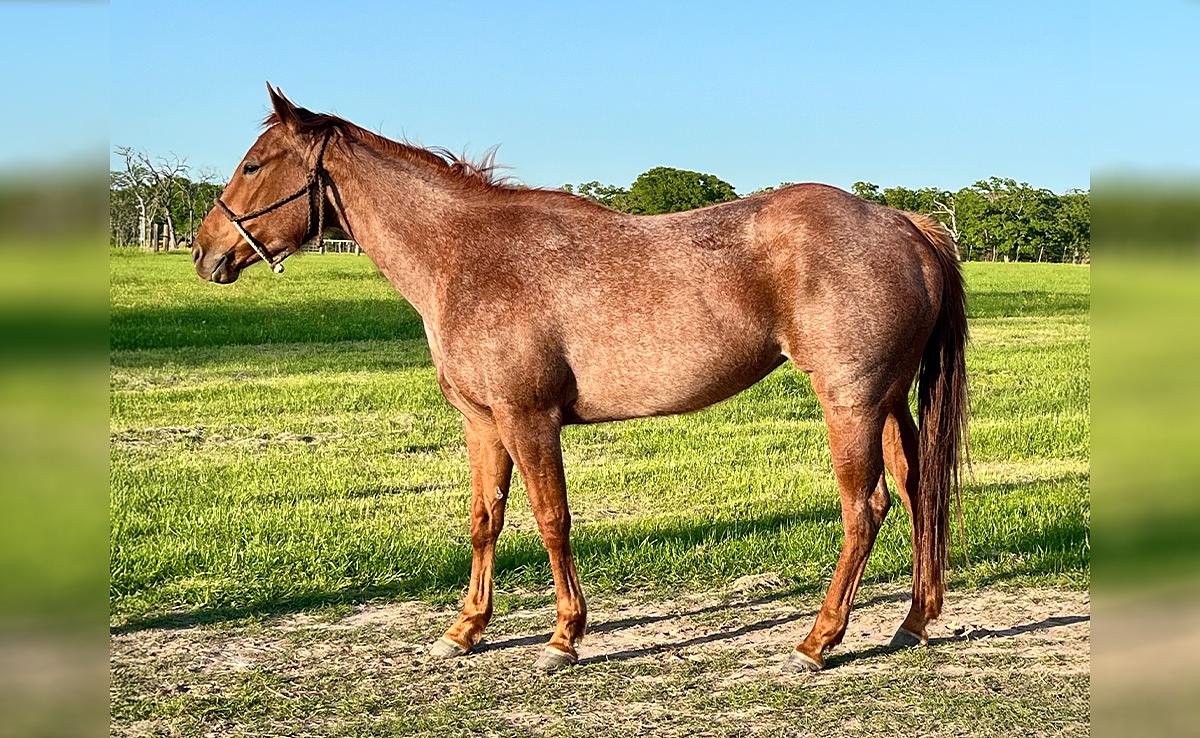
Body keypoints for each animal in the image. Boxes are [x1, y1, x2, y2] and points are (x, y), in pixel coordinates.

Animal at [192, 84, 968, 672]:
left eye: (254, 165)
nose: (204, 251)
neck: (463, 255)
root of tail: (904, 223)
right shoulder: (482, 422)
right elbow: (485, 518)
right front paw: (464, 630)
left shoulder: (527, 418)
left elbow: (551, 518)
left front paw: (564, 638)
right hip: (887, 401)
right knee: (918, 489)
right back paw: (913, 622)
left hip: (850, 403)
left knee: (864, 510)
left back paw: (816, 641)